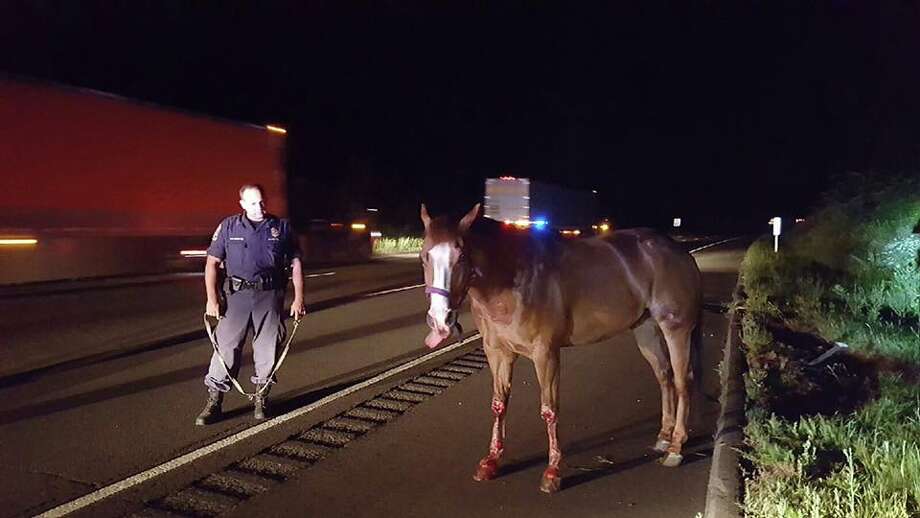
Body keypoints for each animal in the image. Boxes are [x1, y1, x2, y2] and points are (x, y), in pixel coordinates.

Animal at [419, 203, 702, 493]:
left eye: (461, 256)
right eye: (424, 256)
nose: (440, 319)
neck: (514, 277)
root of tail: (677, 251)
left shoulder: (545, 354)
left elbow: (549, 409)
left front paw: (553, 471)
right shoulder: (498, 352)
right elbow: (499, 404)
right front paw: (491, 461)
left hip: (676, 329)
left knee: (682, 381)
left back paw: (676, 447)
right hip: (646, 330)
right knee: (664, 377)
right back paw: (664, 437)